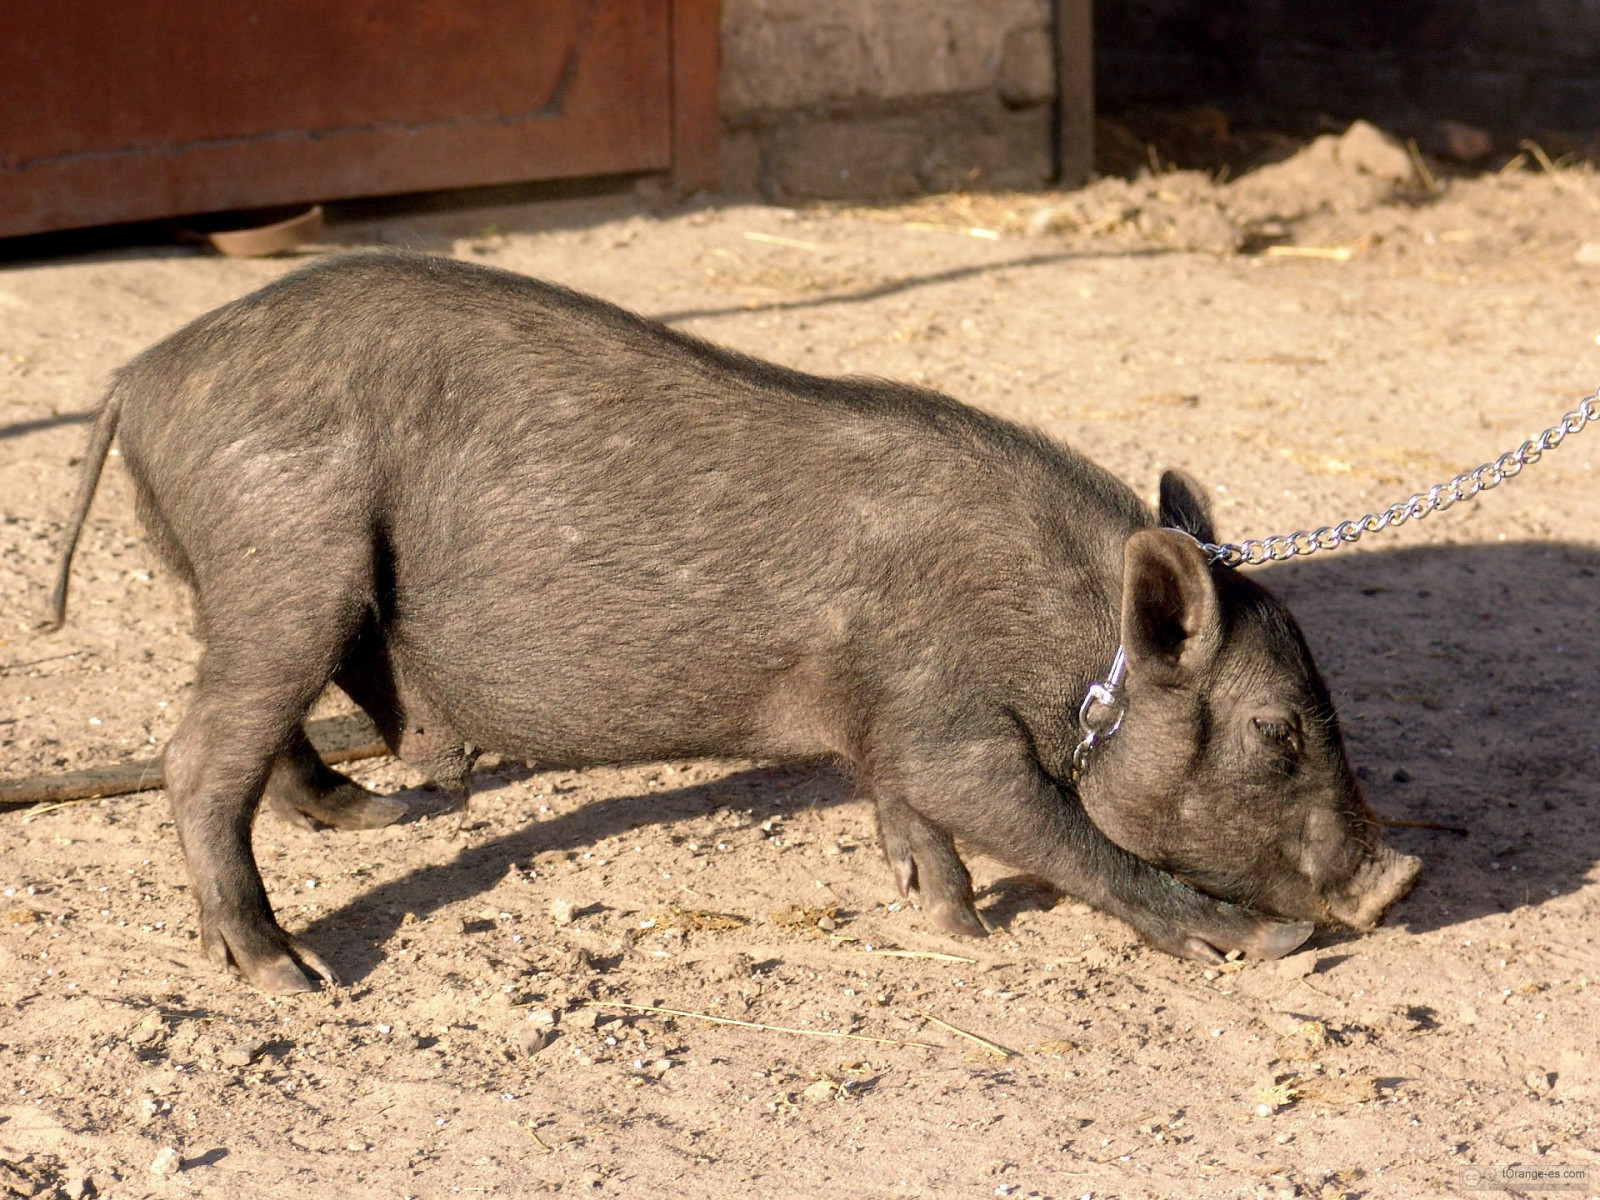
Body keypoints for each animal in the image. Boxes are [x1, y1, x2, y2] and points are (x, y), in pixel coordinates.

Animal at [44, 251, 1420, 993]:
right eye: (1279, 734)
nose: (1396, 881)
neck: (1073, 649)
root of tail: (139, 377)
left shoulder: (888, 726)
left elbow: (911, 814)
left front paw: (951, 922)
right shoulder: (950, 725)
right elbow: (1053, 832)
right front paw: (1262, 943)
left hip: (250, 584)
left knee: (256, 734)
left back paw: (375, 816)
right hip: (288, 557)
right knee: (195, 754)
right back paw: (295, 974)